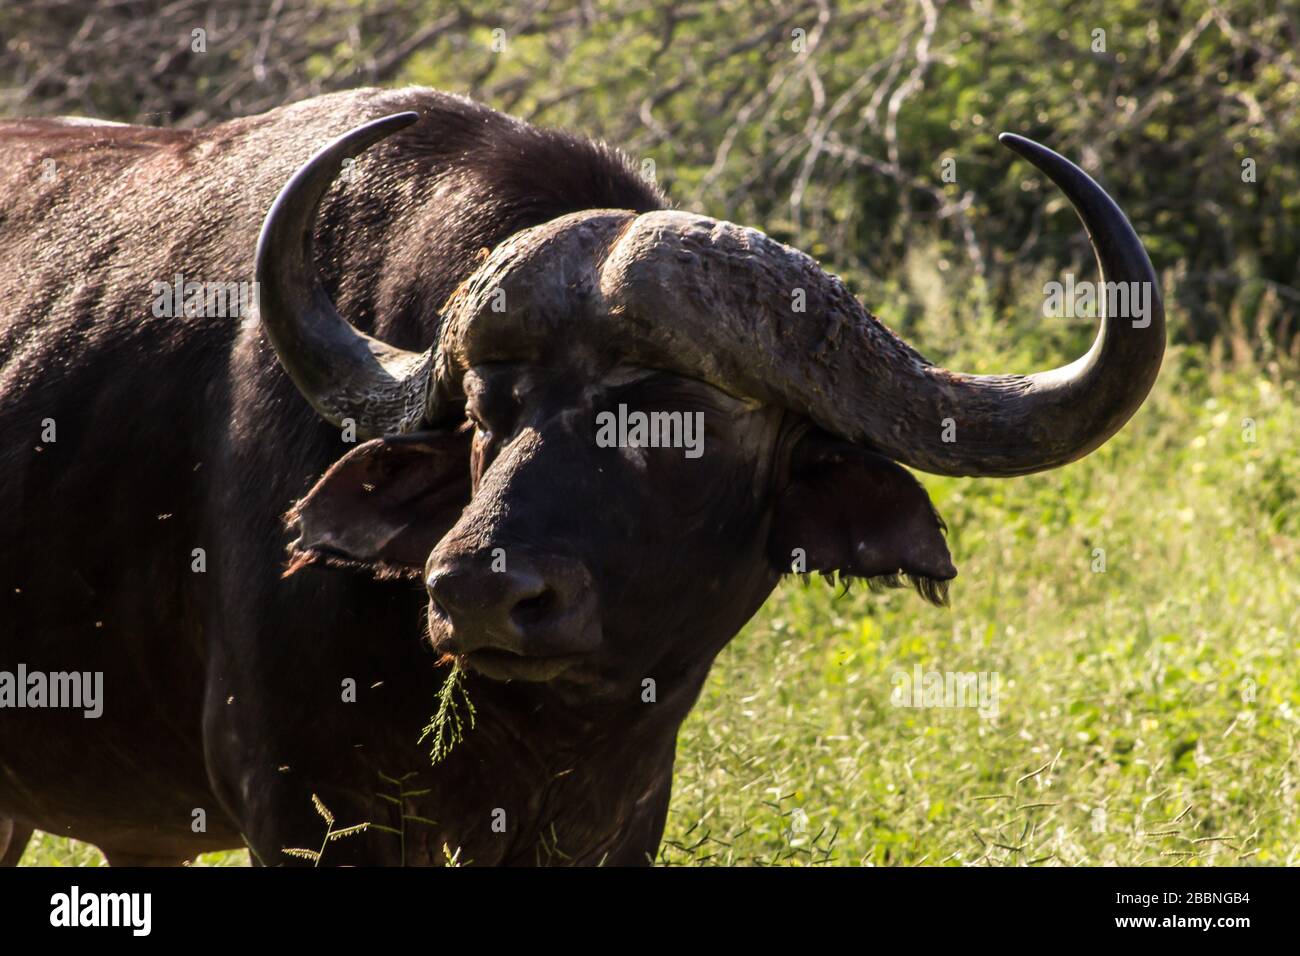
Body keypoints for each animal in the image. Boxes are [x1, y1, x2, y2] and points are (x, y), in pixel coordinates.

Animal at [0, 88, 1163, 865]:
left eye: (677, 424)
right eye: (484, 413)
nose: (479, 591)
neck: (546, 733)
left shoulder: (619, 823)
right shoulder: (299, 815)